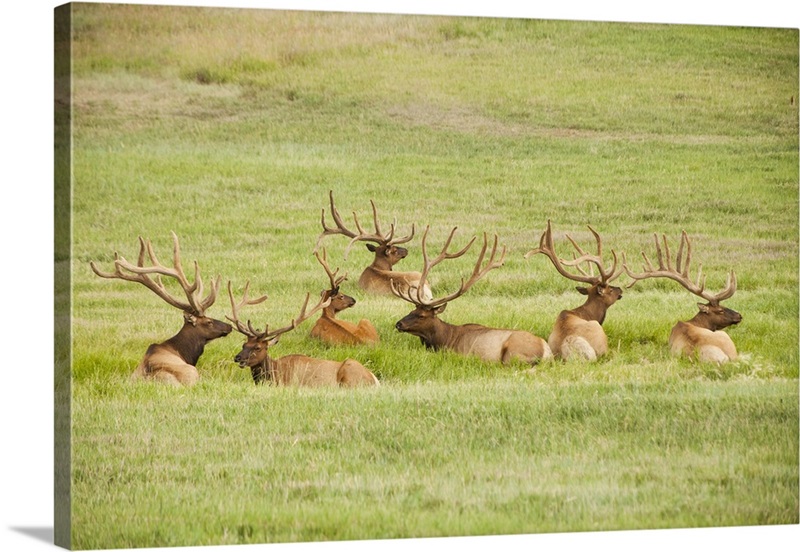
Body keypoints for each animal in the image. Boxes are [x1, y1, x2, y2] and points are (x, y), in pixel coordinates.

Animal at [391, 226, 552, 365]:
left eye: (421, 315)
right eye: (411, 310)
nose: (399, 323)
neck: (445, 340)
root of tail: (547, 351)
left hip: (512, 354)